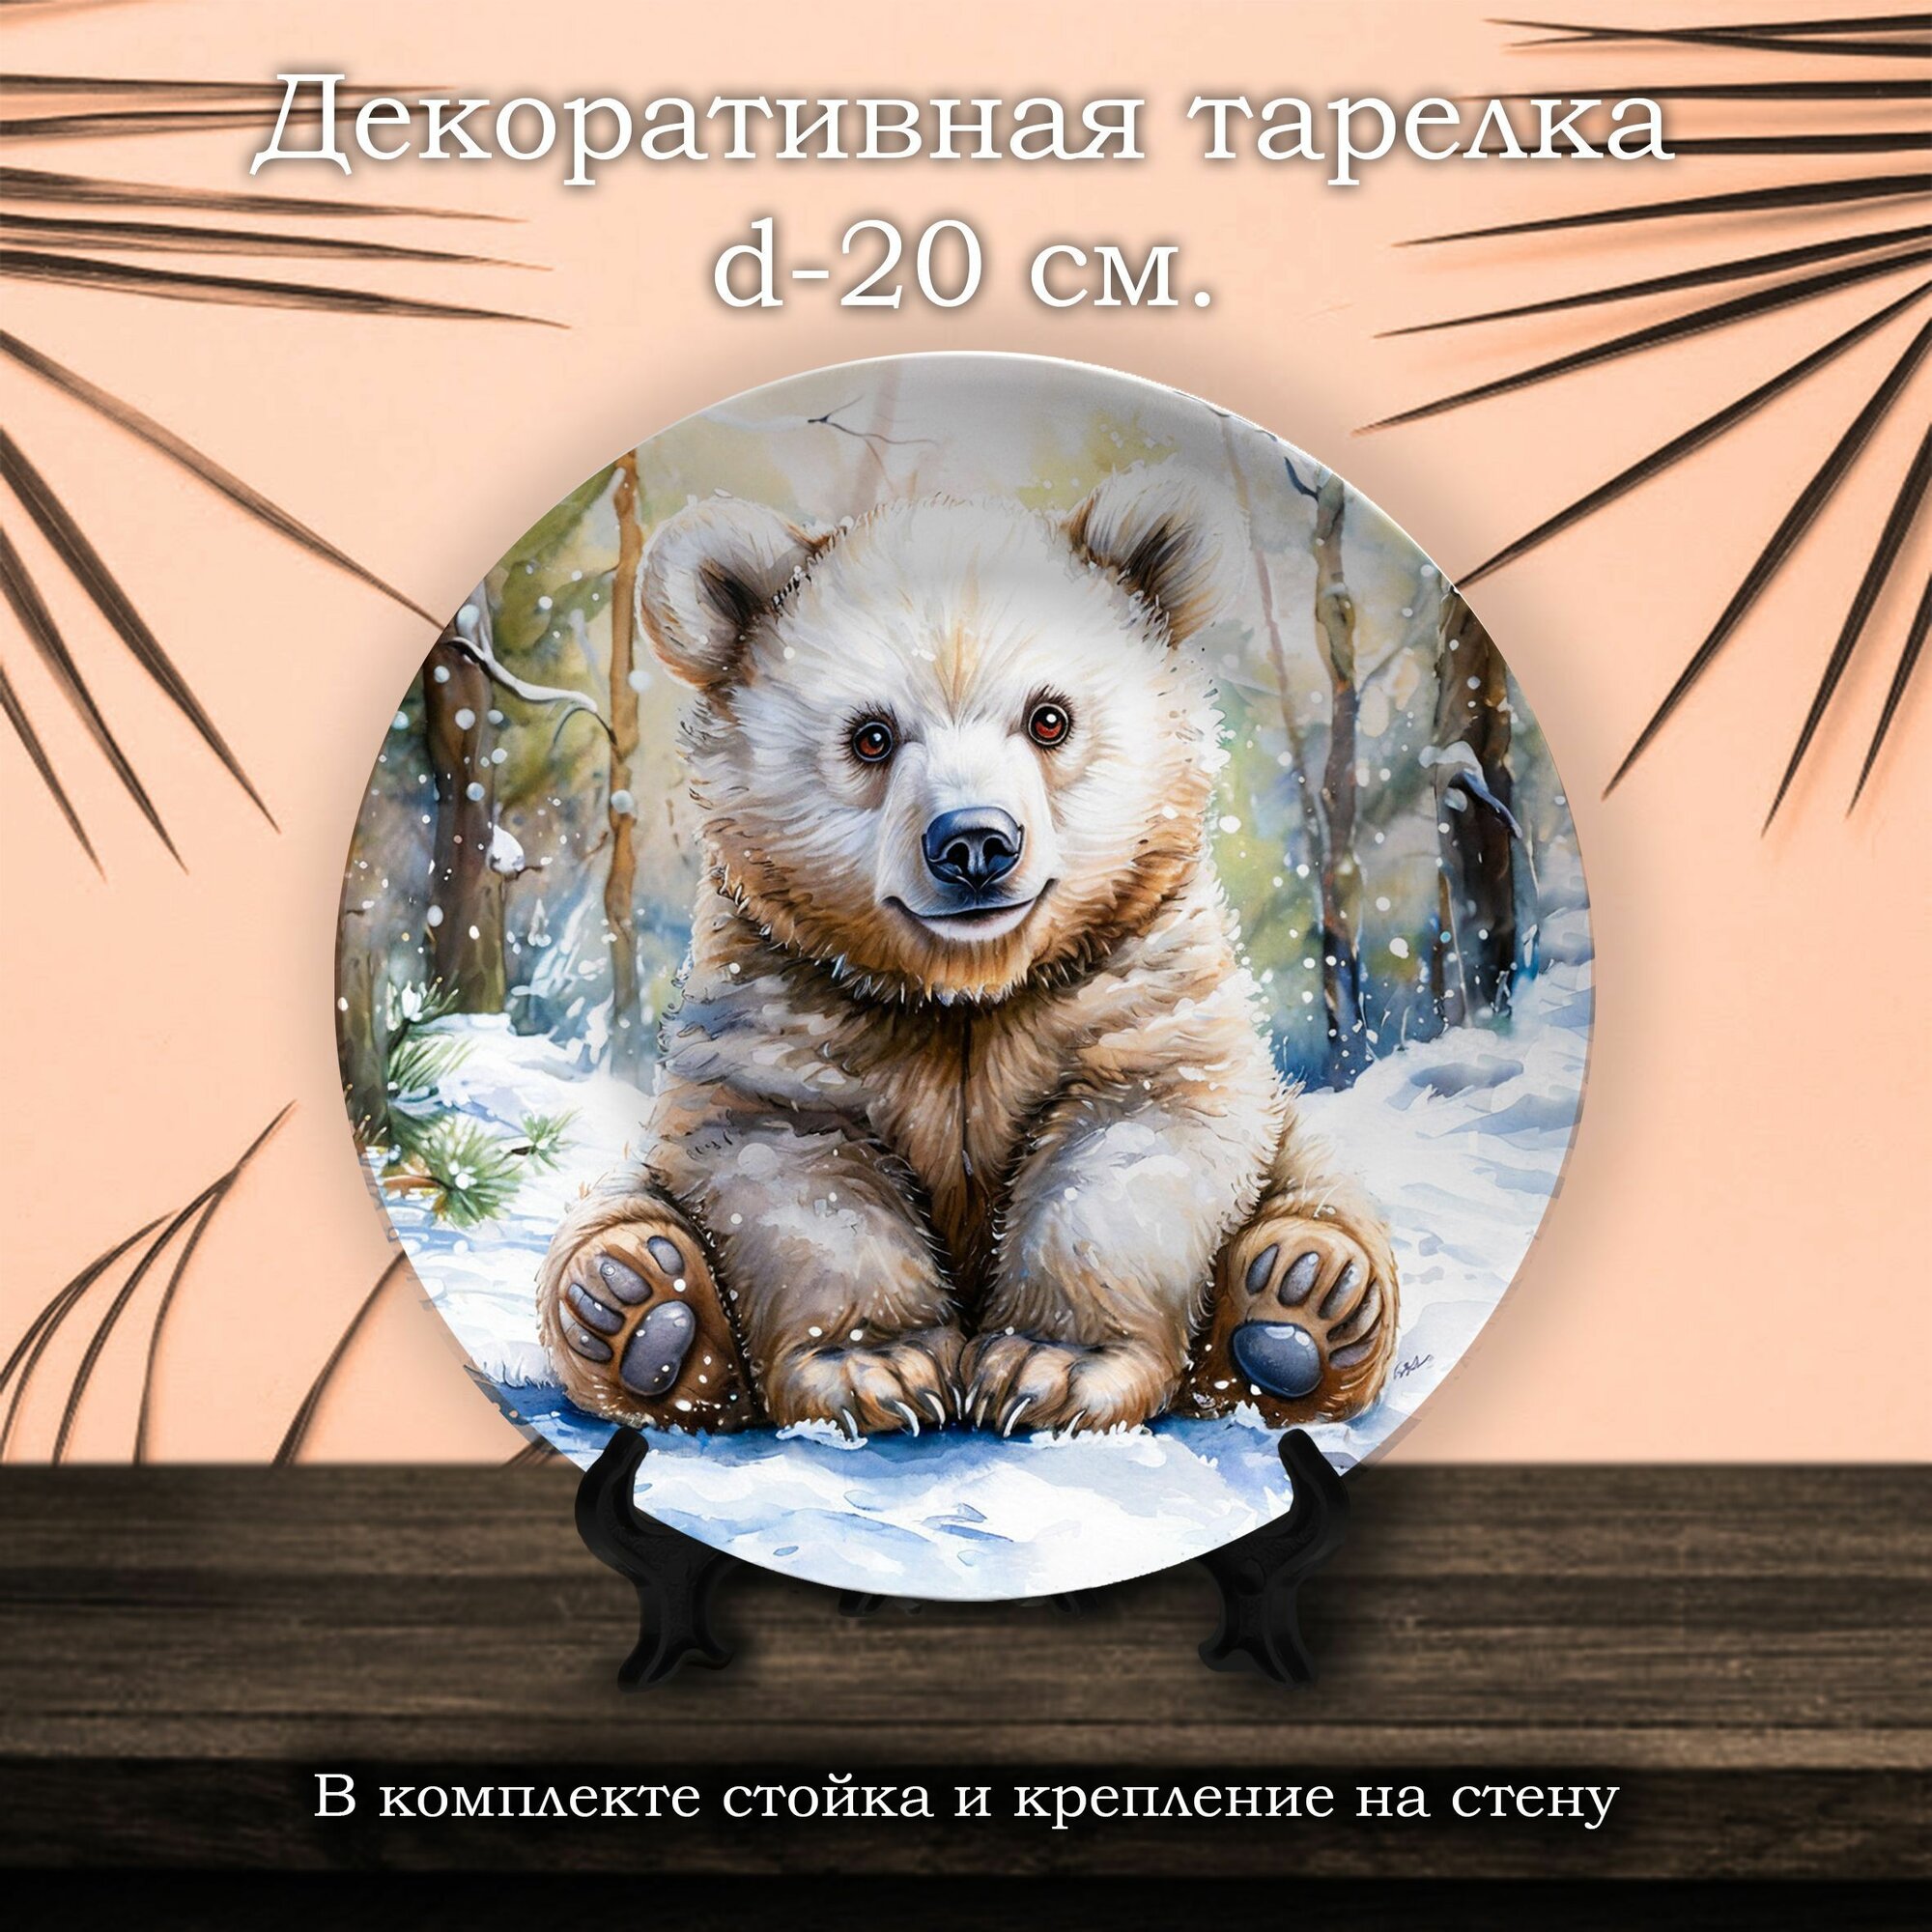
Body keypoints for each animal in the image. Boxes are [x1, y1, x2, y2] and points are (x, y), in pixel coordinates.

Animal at [535, 469, 1397, 1439]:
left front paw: (1049, 1365)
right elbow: (796, 1168)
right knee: (616, 1219)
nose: (976, 842)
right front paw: (882, 1365)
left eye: (1049, 718)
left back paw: (1302, 1304)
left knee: (1314, 1180)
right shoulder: (788, 993)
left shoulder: (1126, 972)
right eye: (870, 734)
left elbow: (1135, 1140)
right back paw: (639, 1309)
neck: (964, 991)